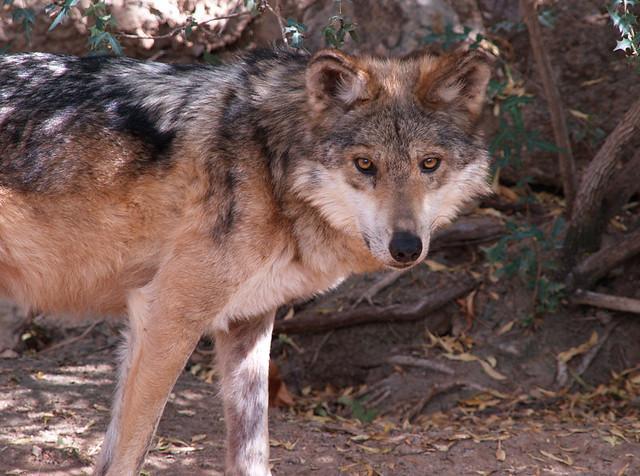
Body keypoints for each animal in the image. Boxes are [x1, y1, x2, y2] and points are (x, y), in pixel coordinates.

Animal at [0, 47, 491, 475]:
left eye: (429, 164)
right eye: (365, 165)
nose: (406, 247)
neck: (271, 167)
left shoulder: (247, 321)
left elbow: (251, 452)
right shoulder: (165, 314)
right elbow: (128, 451)